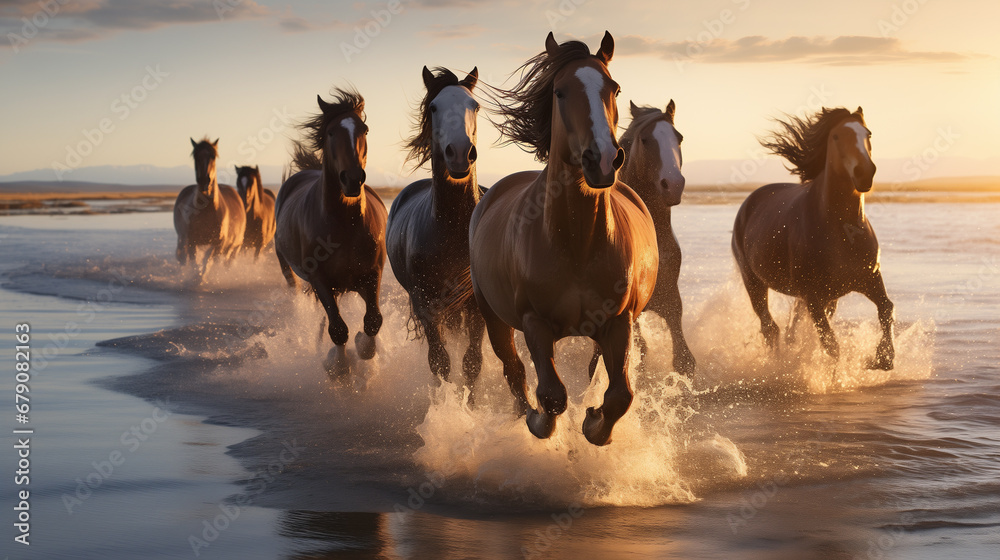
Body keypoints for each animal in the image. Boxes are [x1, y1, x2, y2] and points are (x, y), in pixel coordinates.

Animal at [173, 138, 247, 281]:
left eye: (213, 156)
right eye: (195, 156)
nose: (204, 181)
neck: (207, 211)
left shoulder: (218, 244)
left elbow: (207, 262)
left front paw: (203, 278)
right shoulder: (192, 242)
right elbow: (196, 264)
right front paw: (196, 279)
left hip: (234, 248)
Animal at [273, 89, 387, 366]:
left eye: (365, 130)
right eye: (332, 132)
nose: (353, 179)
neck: (345, 225)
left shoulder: (372, 274)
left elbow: (372, 321)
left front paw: (363, 348)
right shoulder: (320, 280)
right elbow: (337, 328)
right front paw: (338, 366)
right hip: (290, 271)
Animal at [386, 66, 486, 392]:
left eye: (475, 106)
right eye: (433, 107)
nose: (460, 153)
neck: (452, 230)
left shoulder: (475, 306)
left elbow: (472, 362)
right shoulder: (427, 305)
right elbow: (440, 362)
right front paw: (445, 402)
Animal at [470, 32, 658, 446]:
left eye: (614, 88)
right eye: (559, 91)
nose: (601, 159)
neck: (576, 242)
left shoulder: (618, 322)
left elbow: (620, 394)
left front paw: (593, 423)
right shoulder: (534, 323)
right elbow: (551, 394)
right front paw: (540, 422)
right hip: (492, 316)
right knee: (513, 370)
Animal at [731, 107, 894, 370]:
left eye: (868, 133)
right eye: (836, 136)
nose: (865, 173)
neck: (843, 231)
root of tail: (749, 202)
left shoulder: (869, 279)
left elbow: (886, 309)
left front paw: (883, 358)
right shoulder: (813, 296)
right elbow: (831, 345)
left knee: (788, 329)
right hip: (754, 282)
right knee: (770, 328)